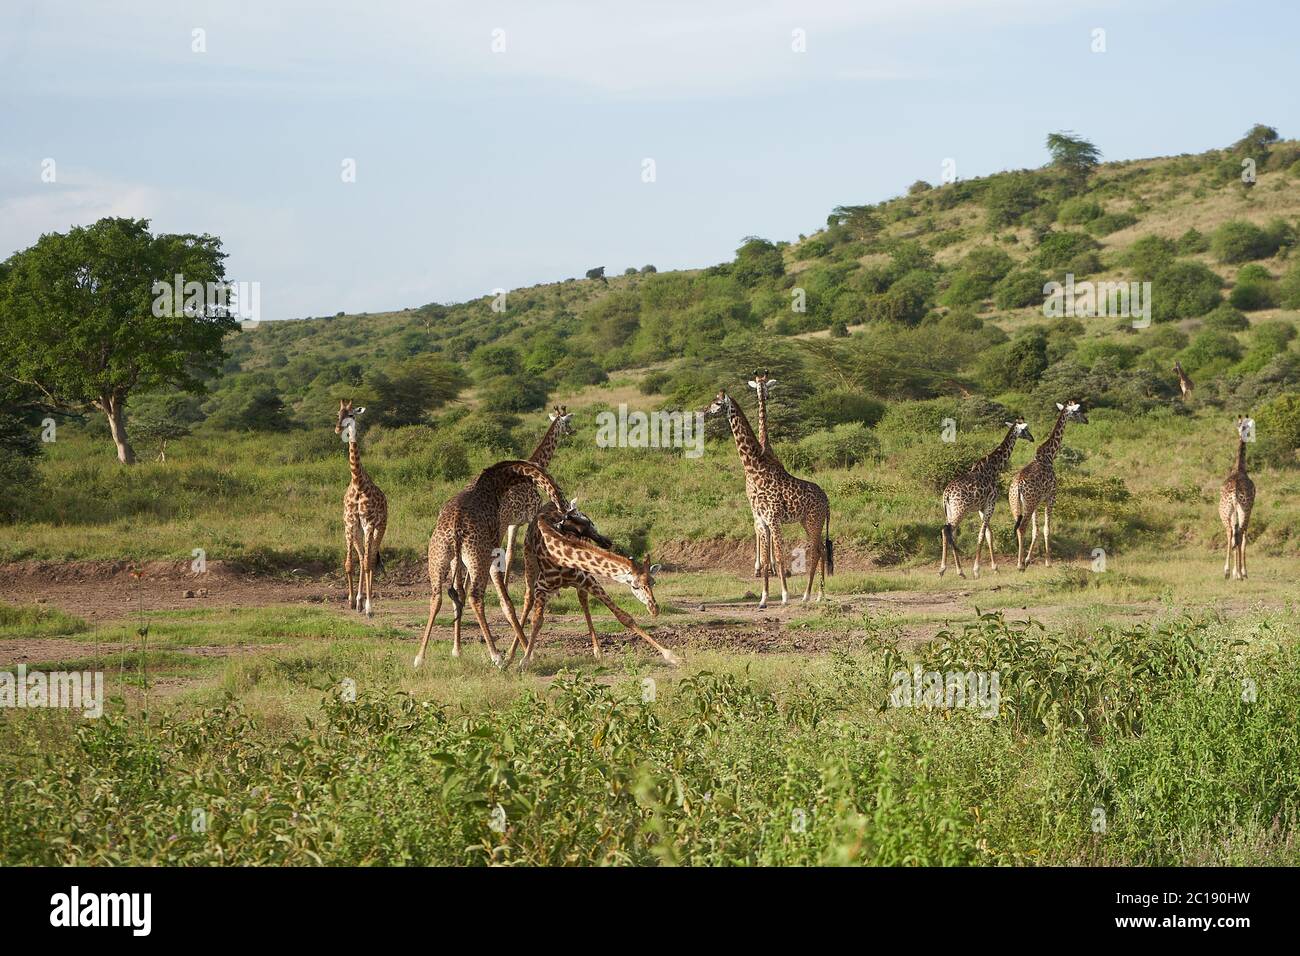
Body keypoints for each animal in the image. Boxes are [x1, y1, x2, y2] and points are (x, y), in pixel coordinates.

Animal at [412, 459, 572, 669]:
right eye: (559, 495)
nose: (563, 509)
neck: (495, 483)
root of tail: (455, 529)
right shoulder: (494, 547)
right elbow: (506, 601)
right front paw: (529, 654)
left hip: (440, 559)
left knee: (437, 597)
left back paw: (420, 657)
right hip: (478, 558)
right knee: (475, 597)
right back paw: (496, 656)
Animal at [505, 503, 680, 667]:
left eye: (653, 582)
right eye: (635, 586)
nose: (654, 609)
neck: (560, 557)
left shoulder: (588, 579)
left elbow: (624, 617)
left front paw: (671, 655)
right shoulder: (542, 587)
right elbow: (537, 621)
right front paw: (525, 660)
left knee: (583, 601)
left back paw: (598, 652)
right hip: (529, 564)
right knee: (527, 601)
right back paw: (510, 655)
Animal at [704, 390, 832, 609]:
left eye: (718, 403)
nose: (705, 410)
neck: (755, 469)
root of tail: (827, 500)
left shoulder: (773, 519)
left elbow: (780, 557)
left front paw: (785, 597)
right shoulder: (761, 521)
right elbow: (765, 561)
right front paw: (763, 599)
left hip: (814, 521)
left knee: (816, 551)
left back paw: (808, 595)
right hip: (807, 522)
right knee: (822, 550)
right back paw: (818, 595)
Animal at [938, 418, 1034, 579]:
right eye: (1025, 429)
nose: (1032, 438)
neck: (994, 468)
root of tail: (946, 495)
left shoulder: (982, 508)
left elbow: (989, 535)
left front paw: (995, 568)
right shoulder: (991, 504)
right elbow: (982, 535)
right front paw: (976, 570)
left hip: (950, 511)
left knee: (949, 533)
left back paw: (956, 571)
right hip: (960, 510)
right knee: (946, 530)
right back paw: (949, 570)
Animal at [1008, 400, 1088, 571]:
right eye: (1078, 411)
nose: (1086, 420)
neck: (1049, 455)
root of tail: (1017, 487)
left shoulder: (1038, 501)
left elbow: (1036, 530)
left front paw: (1028, 559)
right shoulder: (1051, 496)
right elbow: (1046, 529)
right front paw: (1048, 561)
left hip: (1016, 505)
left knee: (1018, 527)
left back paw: (1021, 562)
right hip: (1029, 503)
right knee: (1022, 527)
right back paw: (1019, 565)